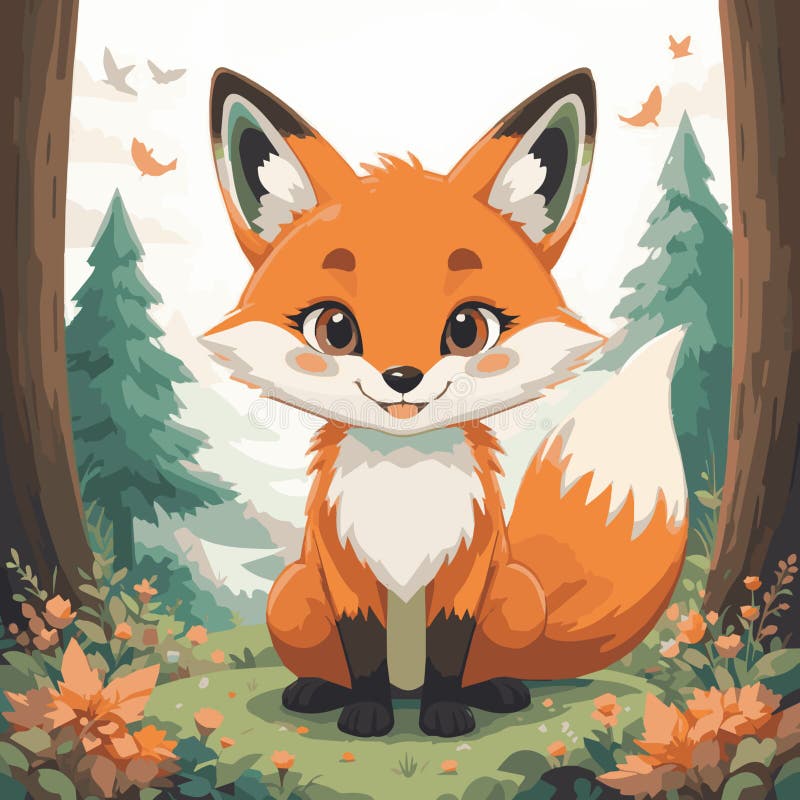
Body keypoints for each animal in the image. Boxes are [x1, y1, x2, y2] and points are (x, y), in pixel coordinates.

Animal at [203, 67, 689, 738]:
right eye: (334, 328)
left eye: (467, 329)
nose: (402, 377)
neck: (405, 487)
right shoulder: (345, 573)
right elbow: (364, 656)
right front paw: (367, 714)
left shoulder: (467, 570)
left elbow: (448, 654)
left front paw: (445, 714)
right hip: (292, 594)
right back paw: (318, 690)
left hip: (516, 596)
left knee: (490, 665)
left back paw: (499, 690)